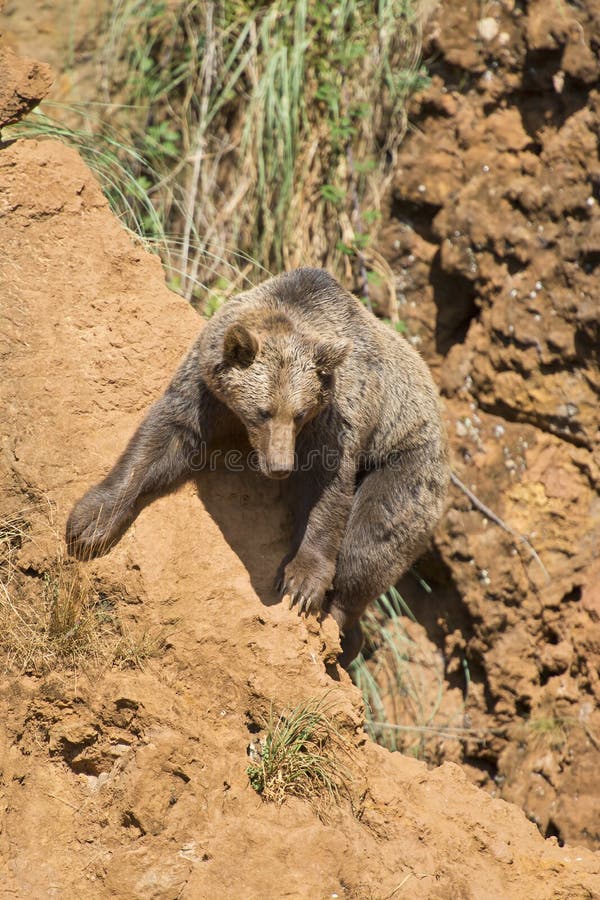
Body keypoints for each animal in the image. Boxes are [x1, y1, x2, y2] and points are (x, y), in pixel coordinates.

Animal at [67, 267, 449, 666]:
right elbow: (164, 436)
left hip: (405, 462)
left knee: (373, 536)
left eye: (299, 414)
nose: (280, 465)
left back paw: (338, 626)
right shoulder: (205, 387)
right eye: (263, 411)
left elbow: (327, 489)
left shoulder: (338, 414)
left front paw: (301, 583)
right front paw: (91, 522)